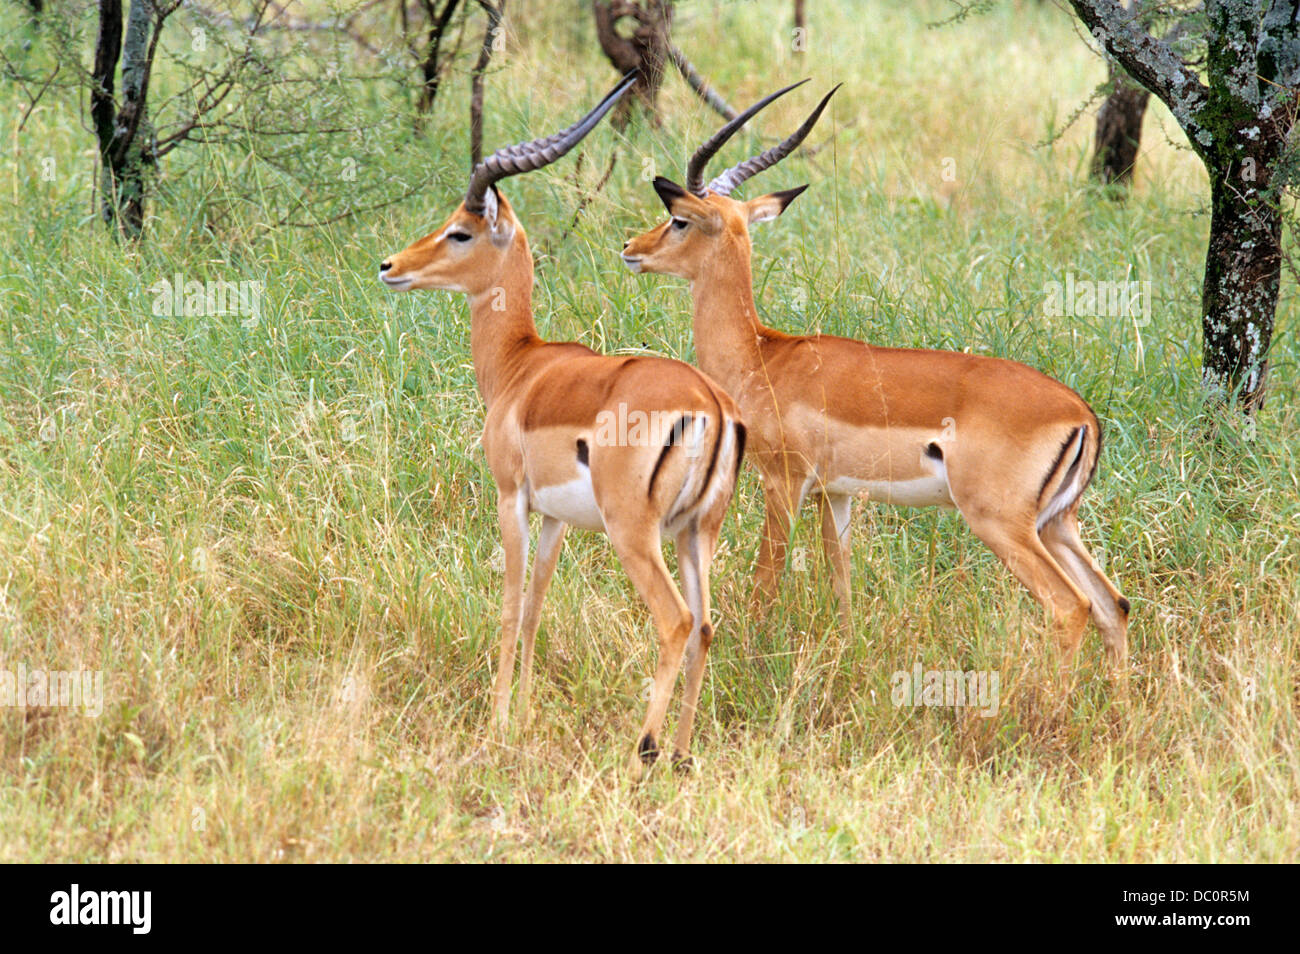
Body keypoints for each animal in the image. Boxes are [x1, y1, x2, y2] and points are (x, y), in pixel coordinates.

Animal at [378, 75, 747, 774]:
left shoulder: (511, 497)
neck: (520, 366)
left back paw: (644, 749)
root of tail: (708, 403)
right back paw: (682, 752)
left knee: (676, 621)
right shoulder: (556, 518)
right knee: (708, 624)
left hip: (635, 532)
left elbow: (507, 605)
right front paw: (523, 716)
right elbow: (535, 609)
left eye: (460, 231)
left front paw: (496, 724)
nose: (390, 266)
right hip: (697, 533)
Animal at [620, 81, 1130, 677]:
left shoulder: (783, 482)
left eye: (679, 219)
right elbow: (841, 580)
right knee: (1112, 605)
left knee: (1070, 606)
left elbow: (766, 581)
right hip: (1057, 523)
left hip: (1002, 523)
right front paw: (847, 650)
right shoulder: (835, 494)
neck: (763, 357)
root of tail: (1082, 415)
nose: (631, 249)